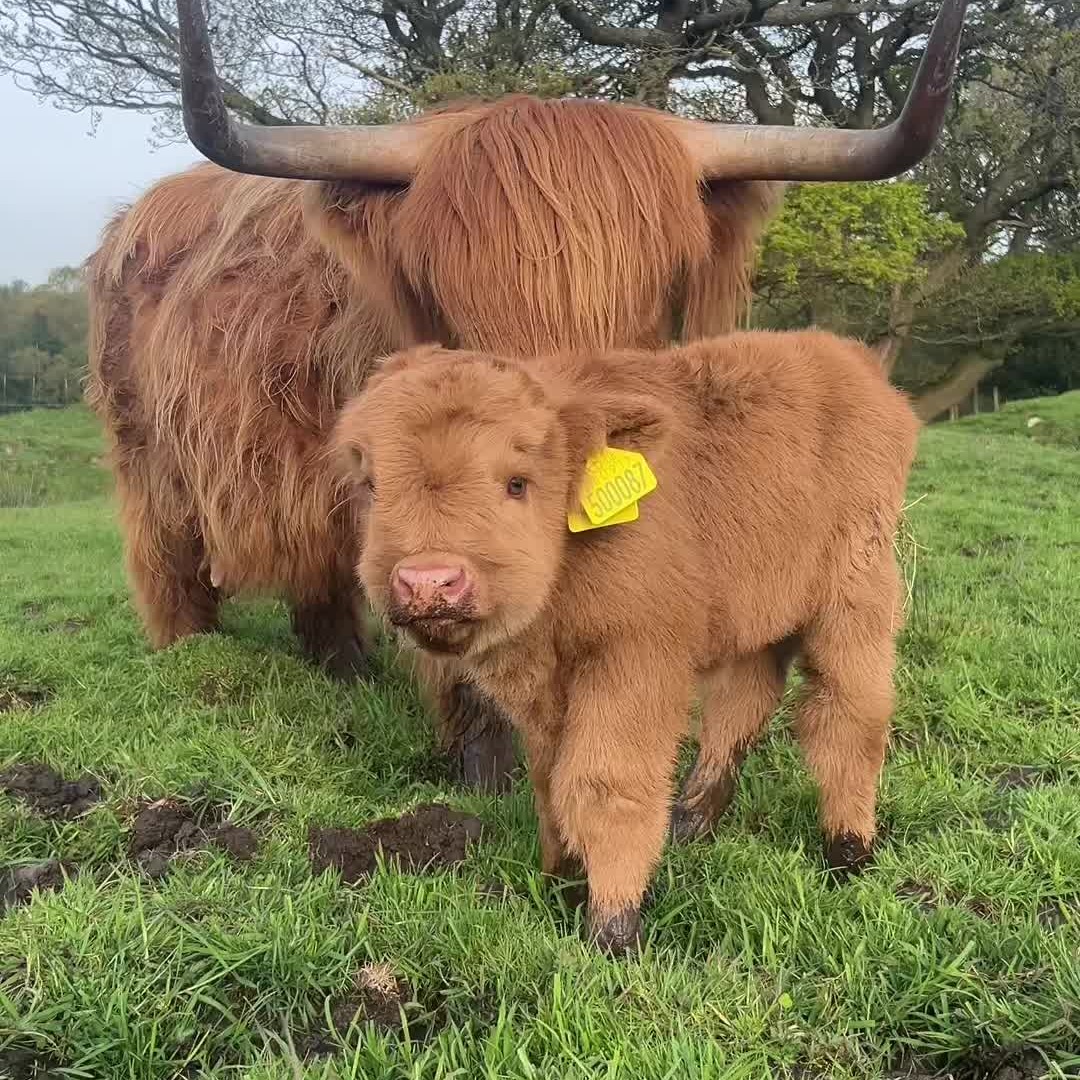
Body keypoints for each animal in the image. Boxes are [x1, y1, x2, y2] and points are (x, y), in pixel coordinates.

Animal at [85, 0, 965, 793]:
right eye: (450, 306)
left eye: (660, 295)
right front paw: (485, 770)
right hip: (149, 461)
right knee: (167, 561)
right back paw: (189, 655)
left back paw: (346, 672)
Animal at [333, 331, 921, 953]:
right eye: (372, 485)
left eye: (516, 483)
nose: (428, 582)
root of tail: (846, 355)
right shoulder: (540, 689)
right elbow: (551, 781)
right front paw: (563, 884)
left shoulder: (634, 662)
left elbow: (603, 783)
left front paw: (613, 928)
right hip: (756, 612)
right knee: (740, 705)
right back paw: (690, 823)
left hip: (854, 592)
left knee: (848, 712)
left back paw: (848, 850)